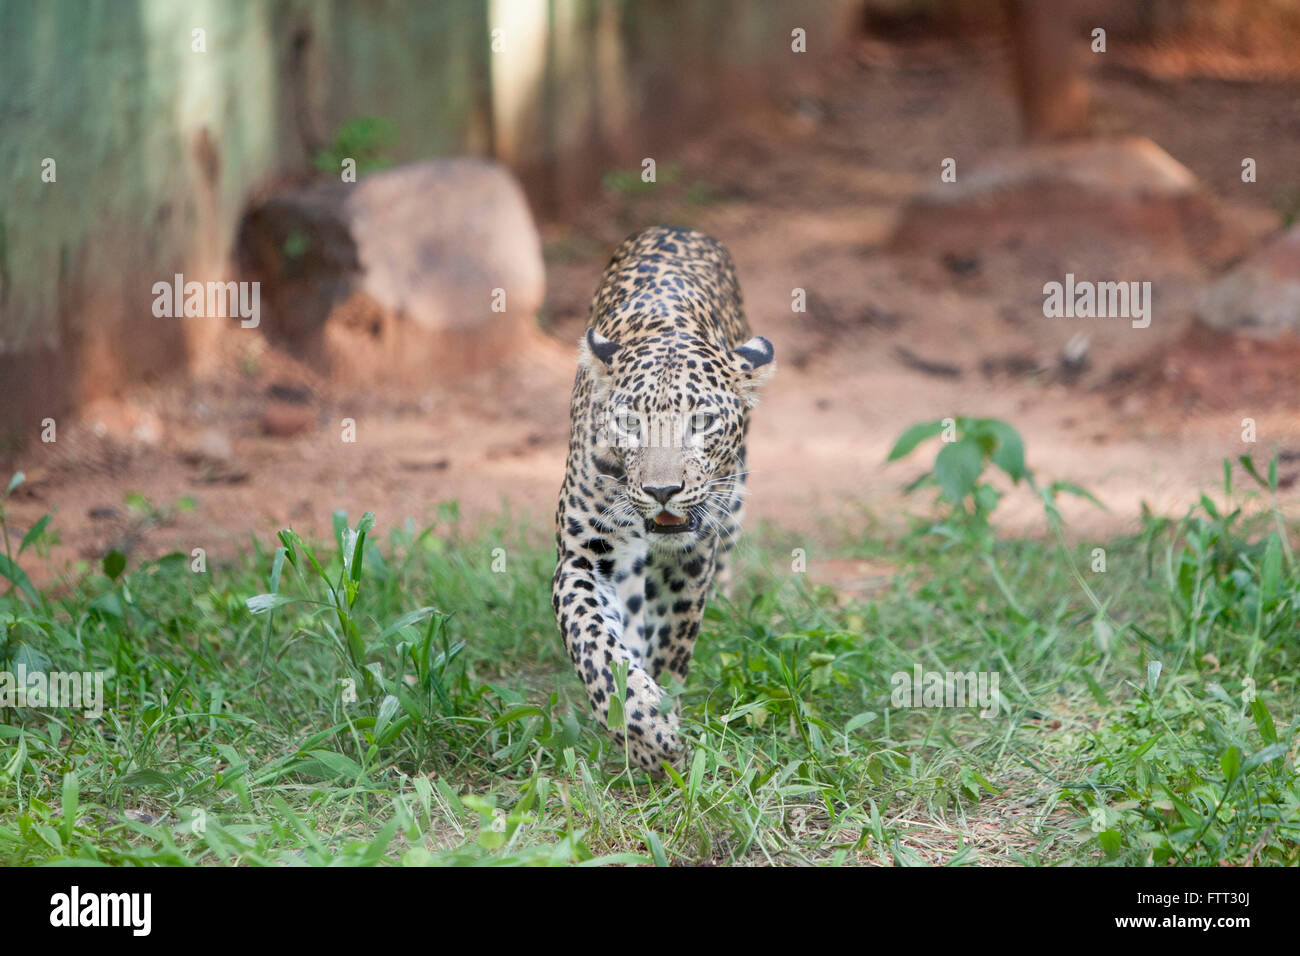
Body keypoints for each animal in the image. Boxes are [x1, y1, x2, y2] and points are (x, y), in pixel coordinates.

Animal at [552, 225, 775, 772]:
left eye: (702, 422)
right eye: (630, 422)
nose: (662, 491)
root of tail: (678, 227)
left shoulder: (691, 557)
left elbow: (673, 640)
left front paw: (663, 715)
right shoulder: (582, 557)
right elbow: (594, 643)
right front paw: (645, 732)